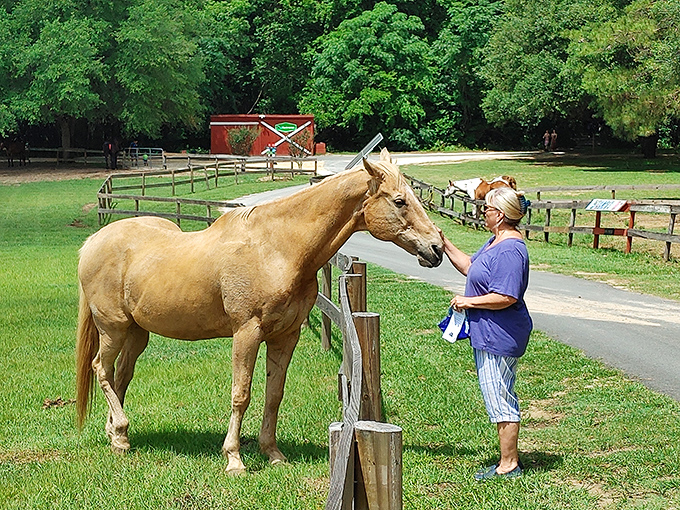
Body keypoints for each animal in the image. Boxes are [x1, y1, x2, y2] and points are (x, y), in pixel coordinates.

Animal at [76, 148, 444, 475]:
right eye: (399, 201)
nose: (437, 248)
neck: (277, 249)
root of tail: (92, 243)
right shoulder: (247, 333)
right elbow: (241, 394)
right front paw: (234, 459)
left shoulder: (285, 336)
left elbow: (273, 394)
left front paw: (273, 453)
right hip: (113, 328)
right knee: (102, 370)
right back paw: (120, 436)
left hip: (137, 333)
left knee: (121, 376)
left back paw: (117, 433)